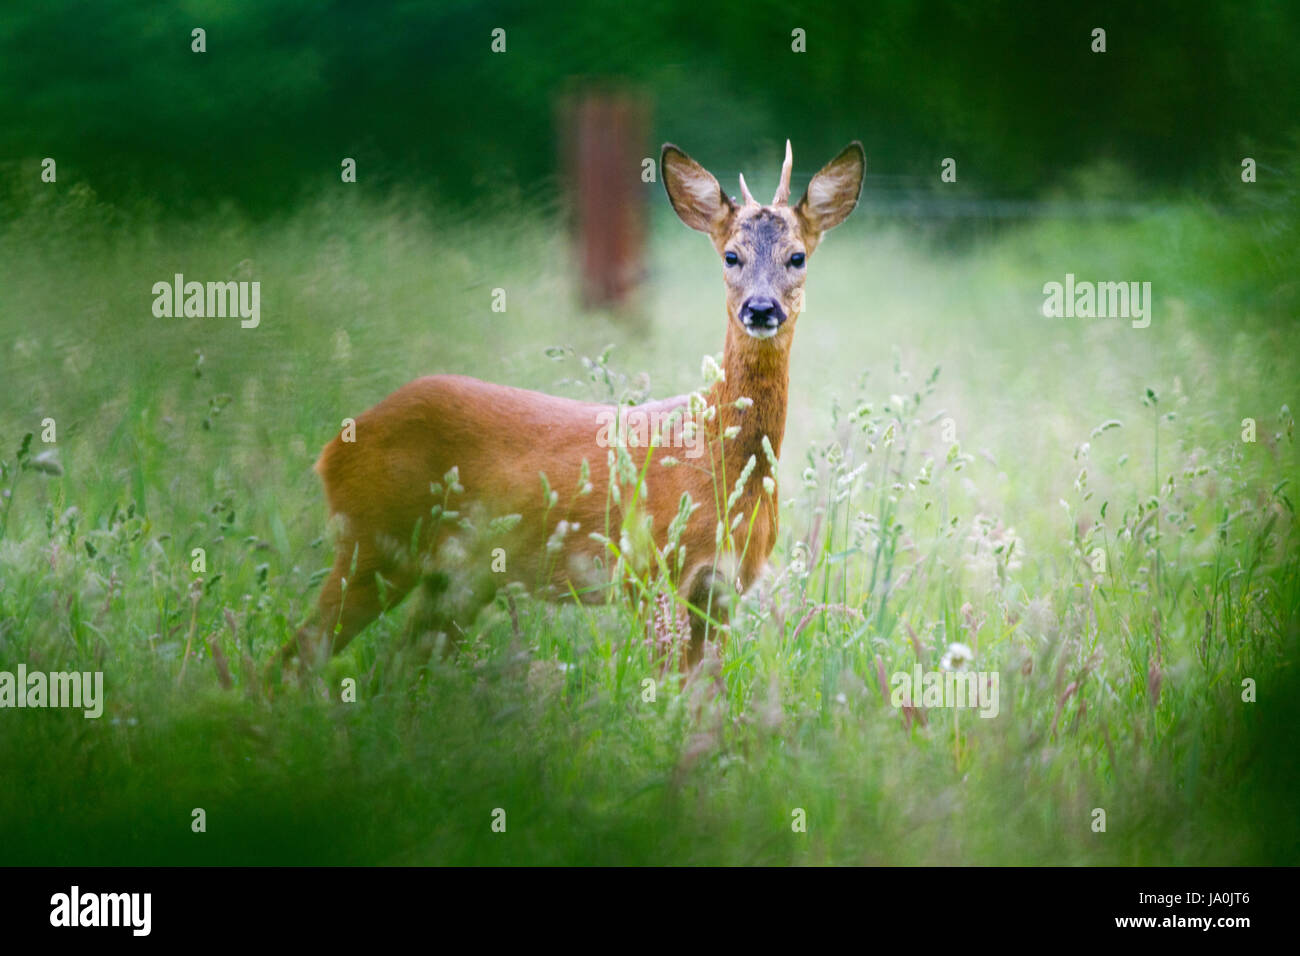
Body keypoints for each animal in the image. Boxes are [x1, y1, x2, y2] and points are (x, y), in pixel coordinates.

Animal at [274, 139, 864, 677]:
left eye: (797, 256)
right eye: (730, 256)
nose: (761, 308)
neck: (717, 456)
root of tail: (332, 450)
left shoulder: (721, 589)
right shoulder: (651, 570)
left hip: (456, 577)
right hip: (374, 540)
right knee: (298, 655)